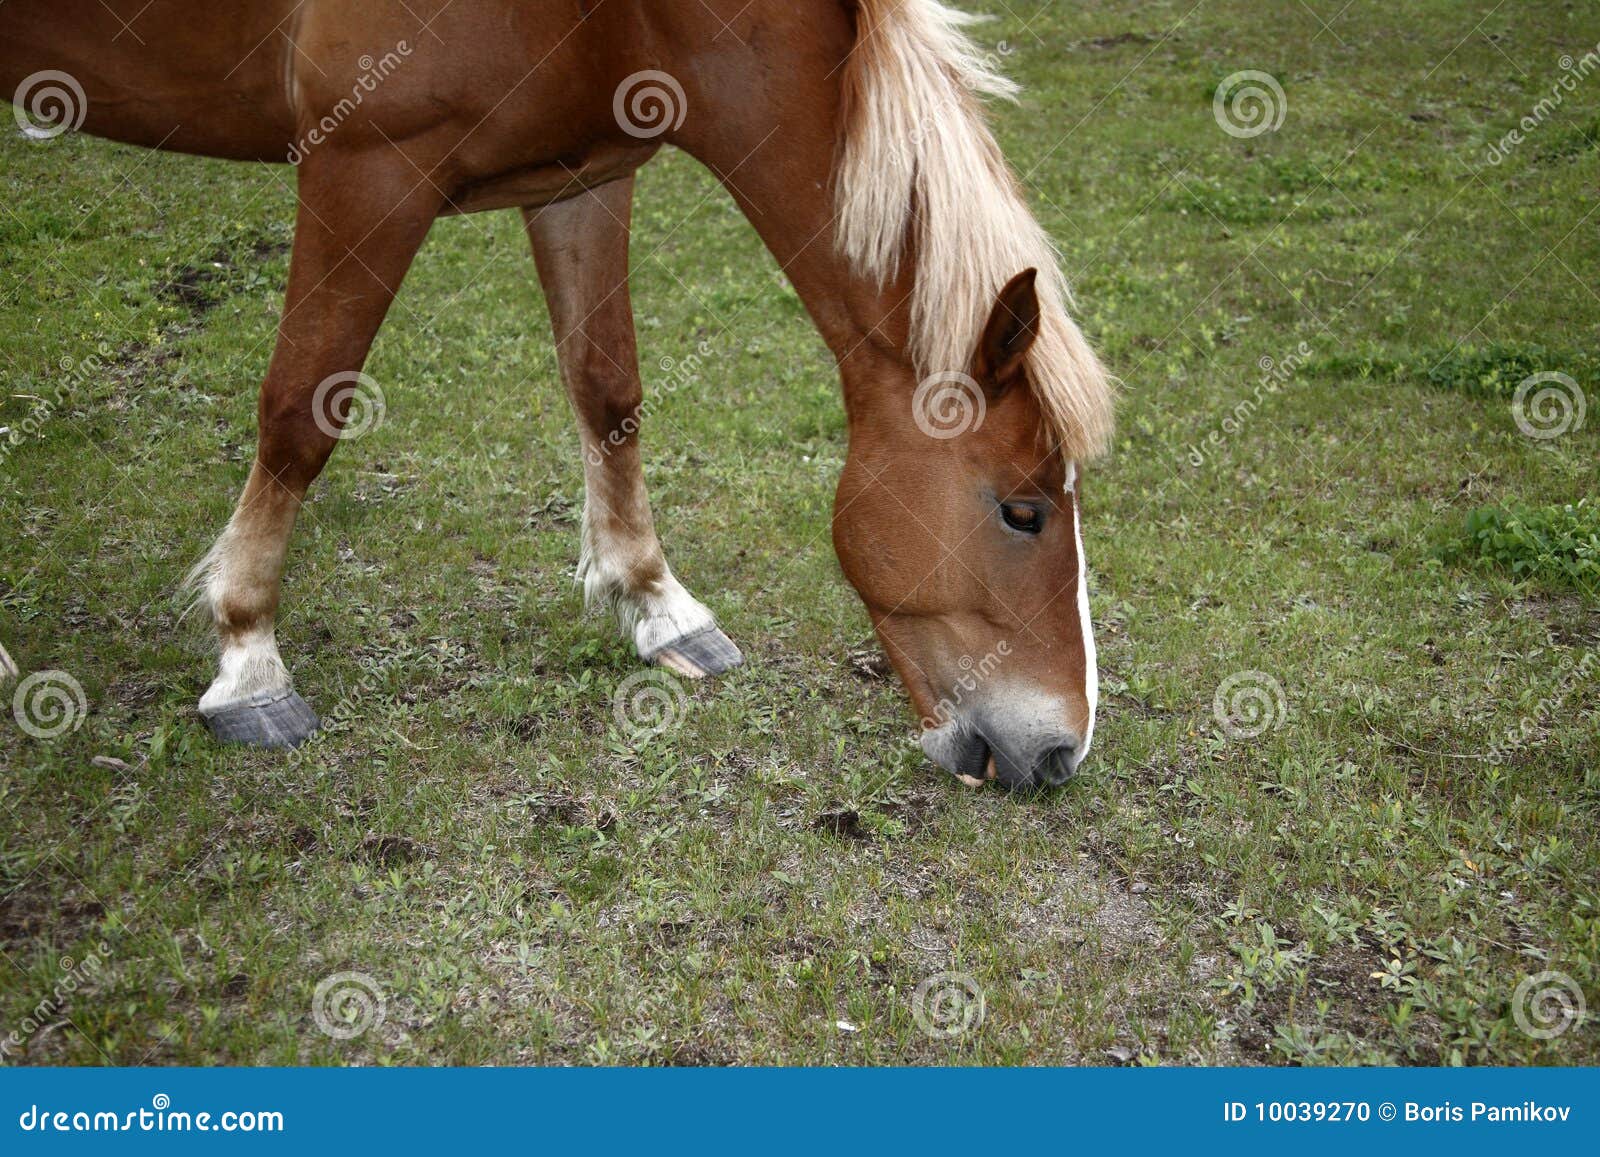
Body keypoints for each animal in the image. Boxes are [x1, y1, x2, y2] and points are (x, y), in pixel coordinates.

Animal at [2, 0, 1115, 789]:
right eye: (1021, 511)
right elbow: (301, 411)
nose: (1063, 752)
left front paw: (656, 601)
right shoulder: (364, 168)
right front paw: (248, 655)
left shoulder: (583, 179)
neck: (618, 9)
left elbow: (608, 388)